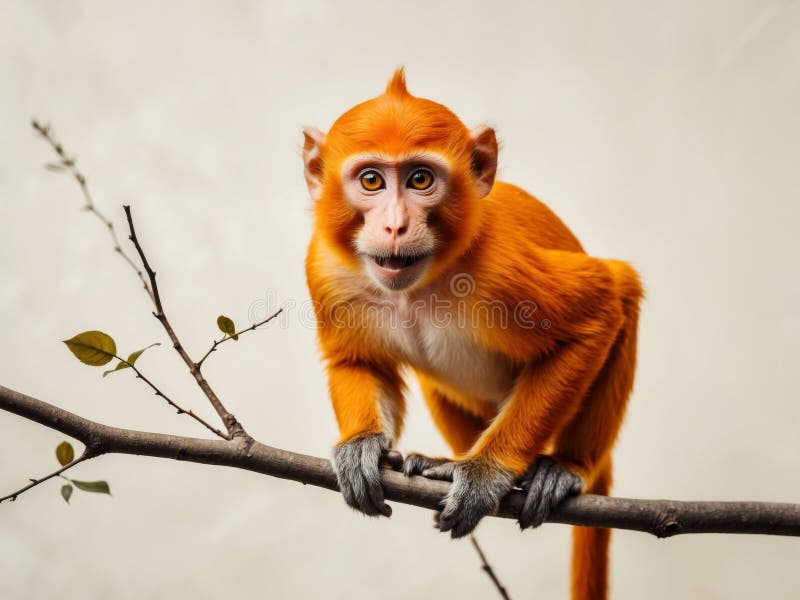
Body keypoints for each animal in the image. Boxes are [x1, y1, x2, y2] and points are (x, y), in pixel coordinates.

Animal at [303, 68, 641, 600]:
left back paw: (566, 468)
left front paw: (487, 474)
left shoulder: (498, 268)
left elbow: (600, 310)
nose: (395, 226)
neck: (419, 285)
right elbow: (359, 362)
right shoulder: (325, 267)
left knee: (623, 292)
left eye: (420, 179)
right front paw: (361, 446)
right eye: (371, 180)